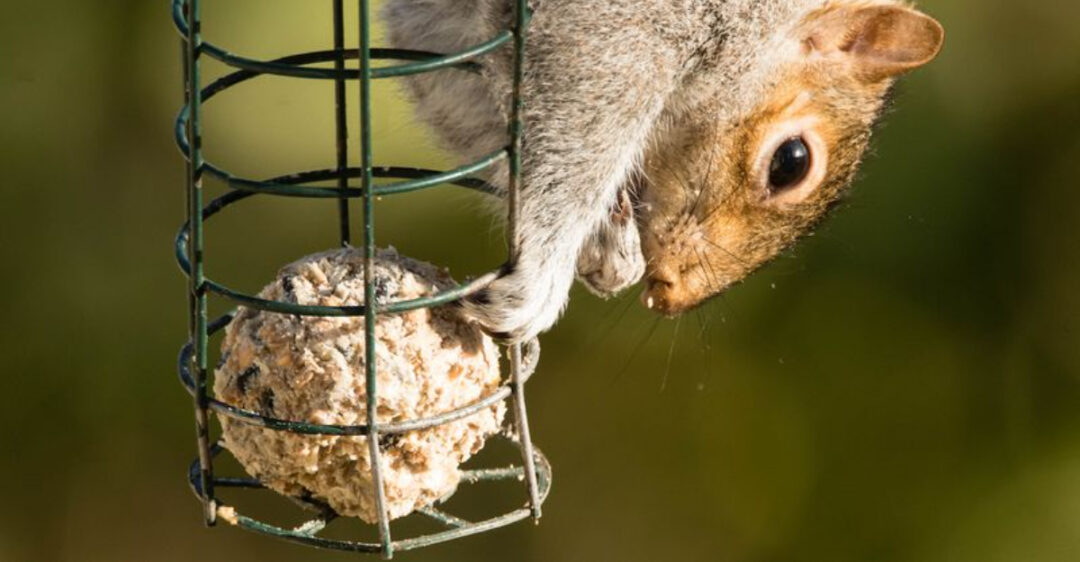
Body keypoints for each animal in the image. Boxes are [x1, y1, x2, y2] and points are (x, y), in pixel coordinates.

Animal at [384, 0, 944, 343]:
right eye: (791, 163)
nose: (671, 295)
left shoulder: (448, 43)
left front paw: (608, 245)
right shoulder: (623, 31)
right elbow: (578, 131)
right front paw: (541, 276)